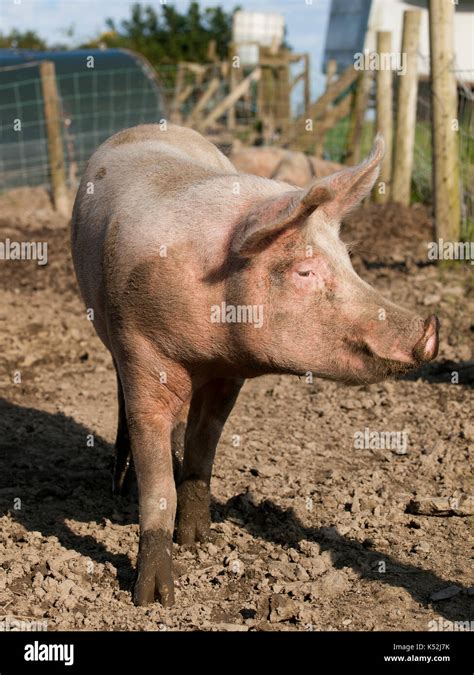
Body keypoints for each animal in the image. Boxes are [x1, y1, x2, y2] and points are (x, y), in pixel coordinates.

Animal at [71, 123, 439, 607]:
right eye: (304, 272)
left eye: (347, 258)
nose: (431, 329)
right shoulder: (141, 350)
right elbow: (157, 485)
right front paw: (154, 599)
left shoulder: (229, 375)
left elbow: (203, 447)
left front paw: (198, 539)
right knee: (121, 403)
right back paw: (117, 487)